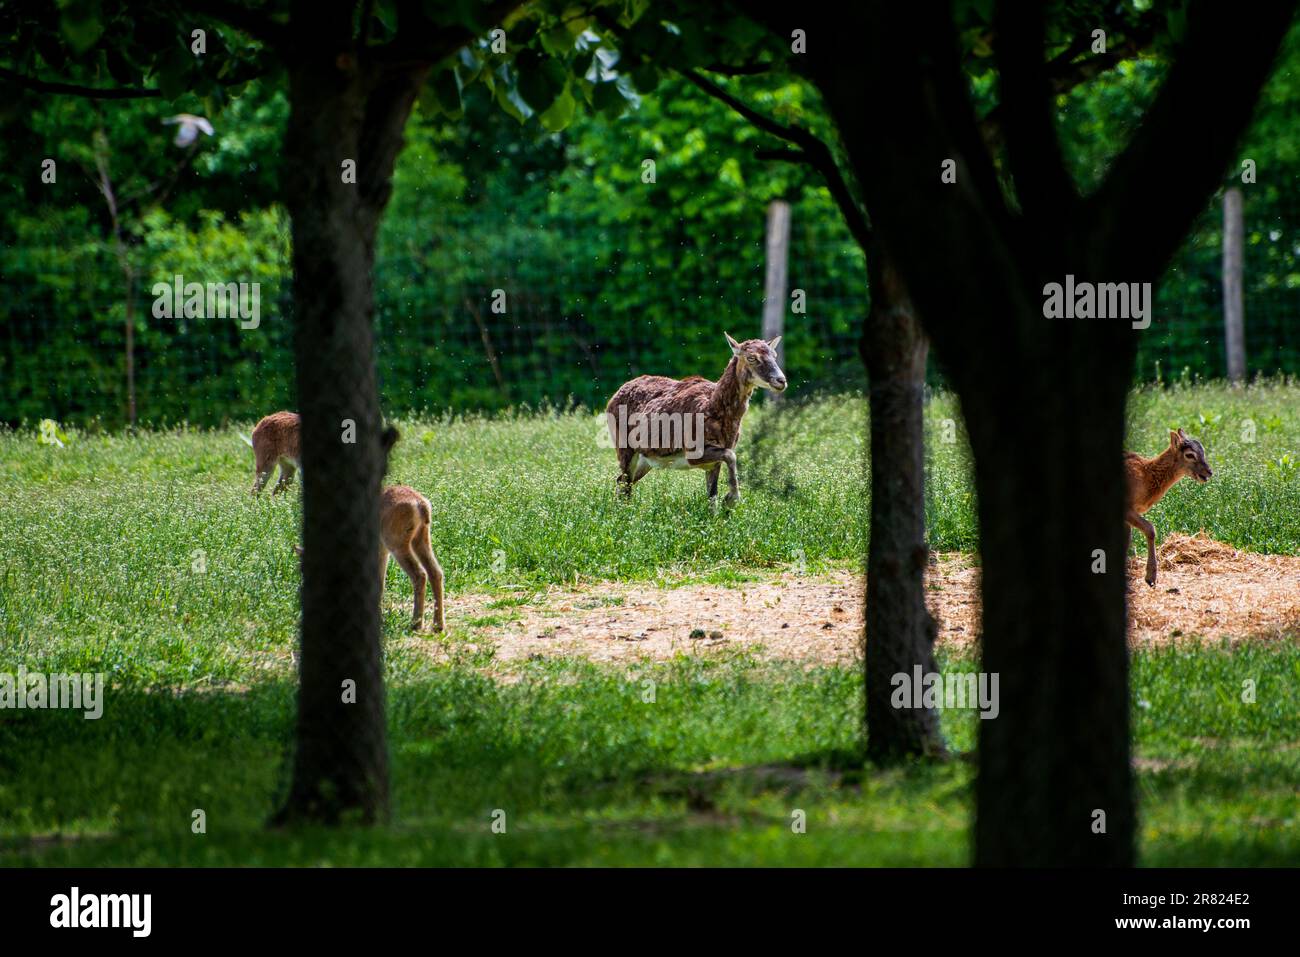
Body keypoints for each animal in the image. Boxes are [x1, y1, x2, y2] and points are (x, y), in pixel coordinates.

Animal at [287, 423, 446, 632]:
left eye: (305, 568)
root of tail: (422, 505)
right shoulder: (380, 550)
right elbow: (379, 582)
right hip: (421, 538)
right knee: (436, 572)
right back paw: (437, 625)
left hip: (397, 542)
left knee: (420, 574)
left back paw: (416, 624)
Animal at [605, 332, 786, 504]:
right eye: (751, 357)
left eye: (774, 355)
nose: (781, 380)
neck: (715, 412)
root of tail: (611, 399)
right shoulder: (693, 451)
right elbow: (731, 456)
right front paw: (731, 499)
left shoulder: (715, 462)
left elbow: (712, 495)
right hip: (624, 445)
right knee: (624, 481)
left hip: (646, 458)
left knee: (622, 481)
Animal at [1125, 428, 1213, 587]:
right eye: (1189, 454)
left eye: (1203, 450)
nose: (1209, 472)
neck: (1146, 476)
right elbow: (1150, 529)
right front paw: (1151, 578)